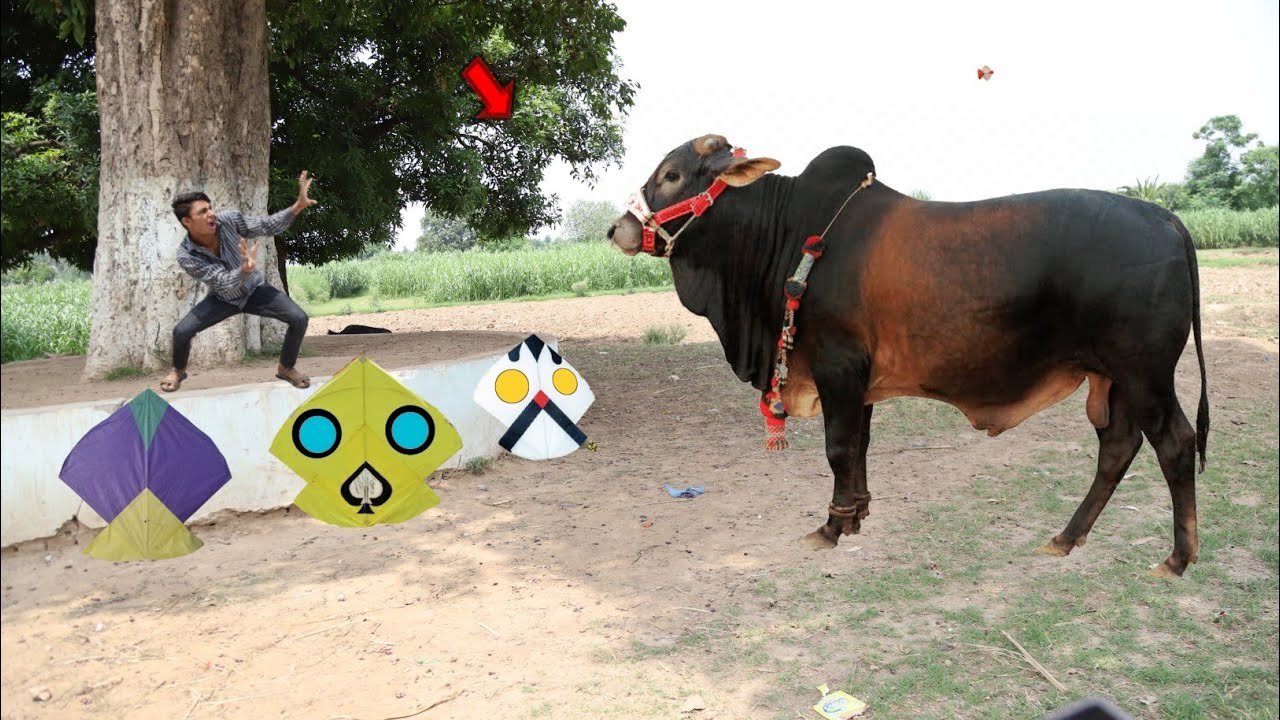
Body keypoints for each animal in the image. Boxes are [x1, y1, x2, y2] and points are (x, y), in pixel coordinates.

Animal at [607, 134, 1209, 578]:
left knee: (1176, 445)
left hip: (1145, 373)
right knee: (1118, 447)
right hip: (1114, 378)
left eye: (672, 175)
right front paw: (857, 514)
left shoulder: (836, 366)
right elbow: (860, 446)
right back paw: (1066, 537)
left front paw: (832, 527)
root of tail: (1168, 219)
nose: (618, 229)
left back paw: (1177, 559)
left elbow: (838, 447)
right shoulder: (861, 379)